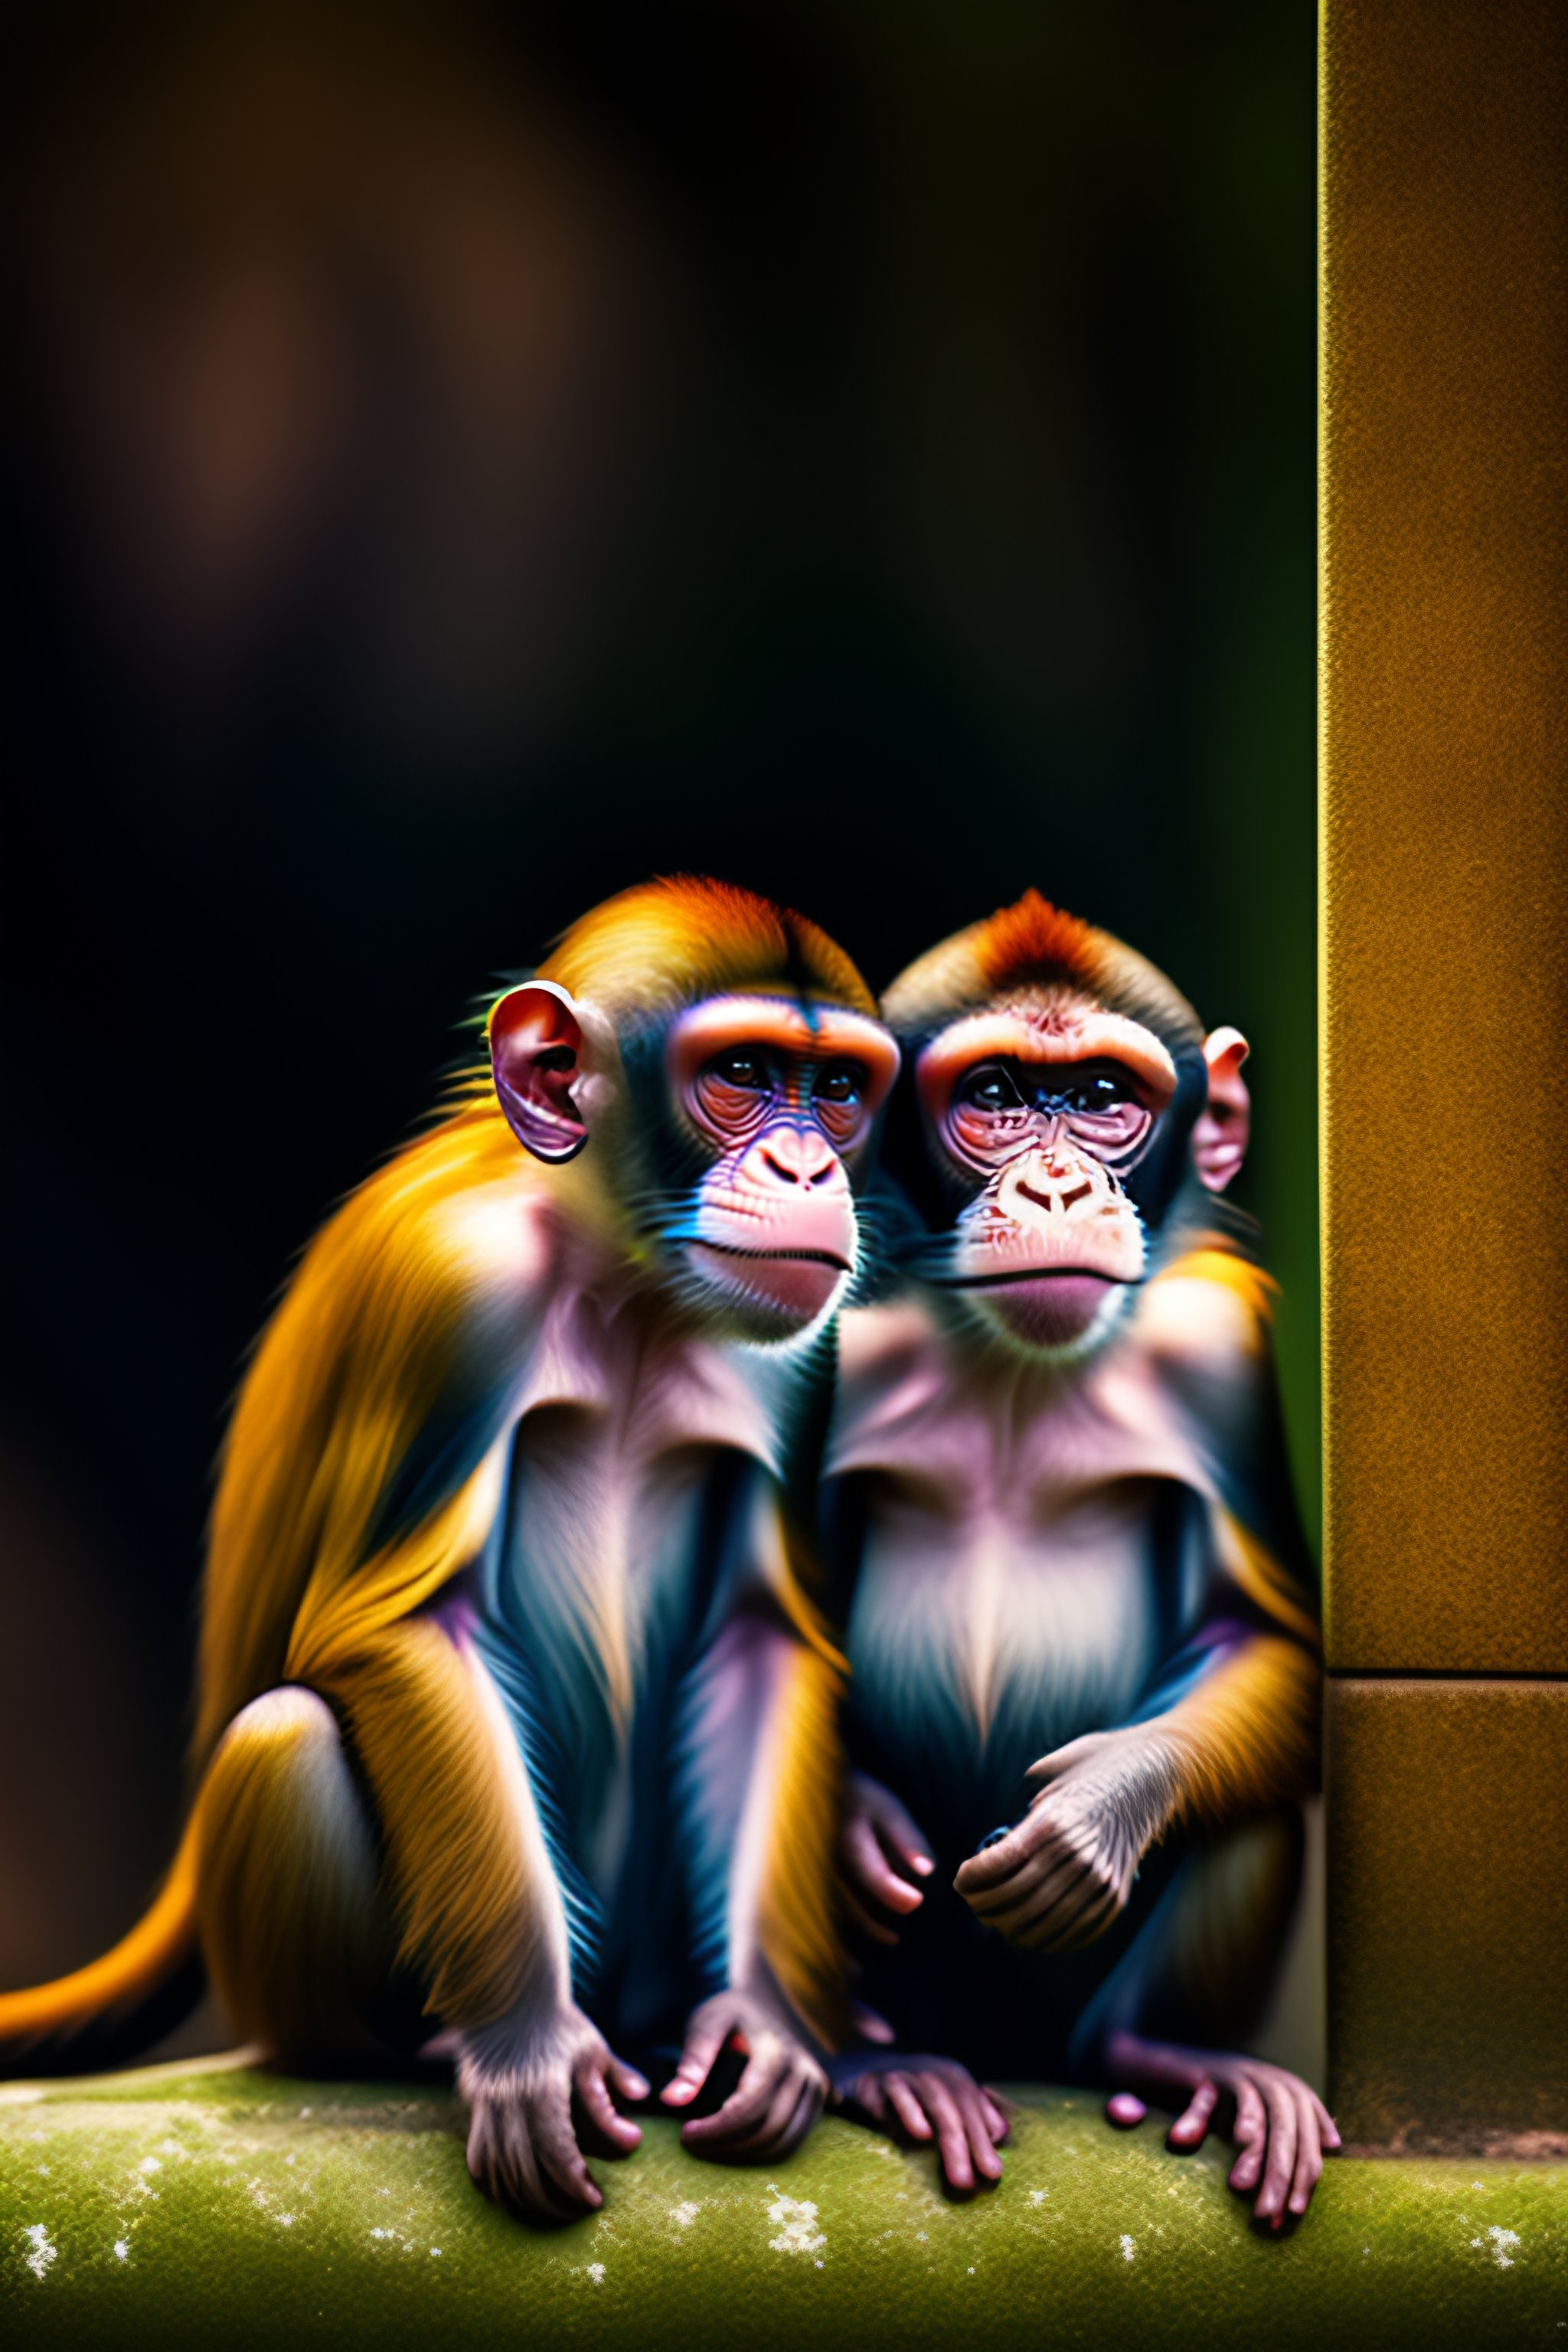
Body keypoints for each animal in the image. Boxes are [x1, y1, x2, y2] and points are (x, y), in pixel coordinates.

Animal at [0, 877, 899, 2225]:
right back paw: (406, 2044)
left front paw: (764, 2023)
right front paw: (526, 2047)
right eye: (742, 1073)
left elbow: (756, 1639)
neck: (621, 1280)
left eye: (837, 1089)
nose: (808, 1164)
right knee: (288, 1739)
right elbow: (403, 1627)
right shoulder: (456, 1292)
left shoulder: (805, 1350)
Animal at [822, 892, 1336, 2225]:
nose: (1055, 1182)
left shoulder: (1220, 1337)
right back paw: (876, 2062)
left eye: (1103, 1094)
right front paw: (857, 1819)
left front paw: (1096, 1811)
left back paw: (1166, 2055)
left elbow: (1266, 1640)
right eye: (998, 1094)